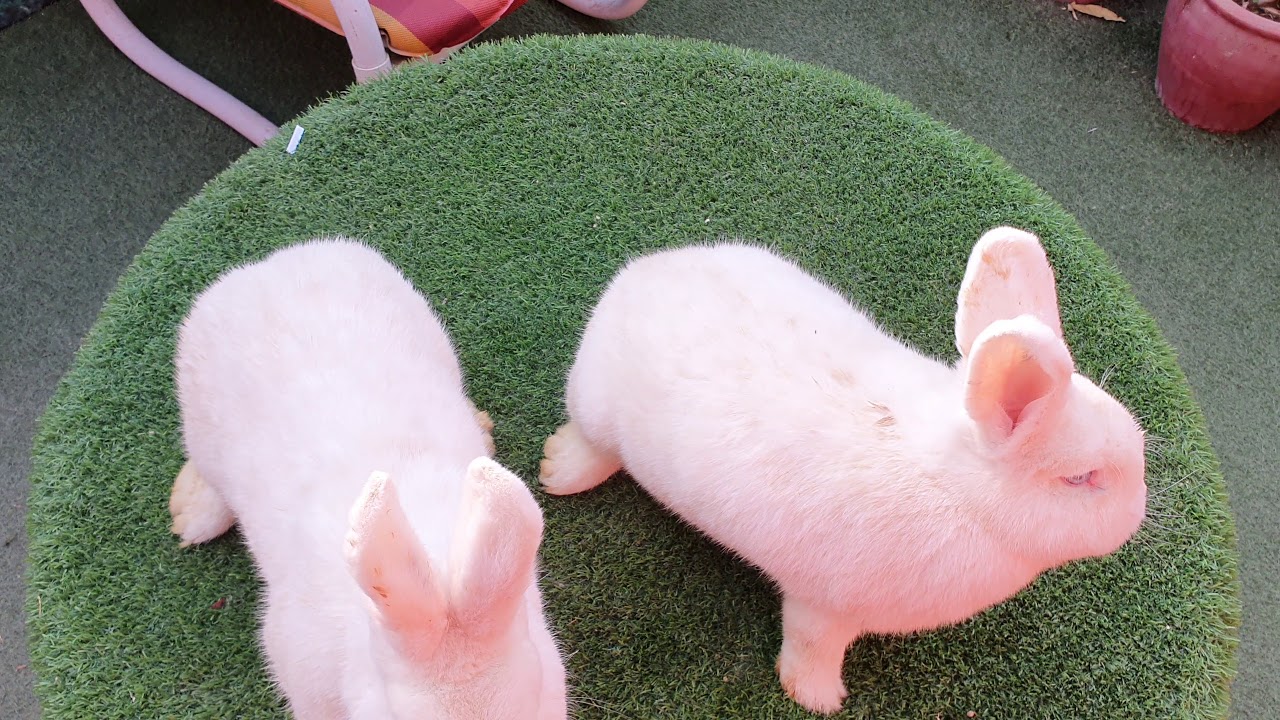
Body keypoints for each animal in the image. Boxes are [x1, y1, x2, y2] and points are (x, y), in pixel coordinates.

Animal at [539, 227, 1148, 715]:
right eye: (1081, 479)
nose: (1139, 511)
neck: (958, 491)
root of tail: (636, 276)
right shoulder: (823, 606)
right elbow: (812, 648)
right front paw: (818, 700)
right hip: (598, 412)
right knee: (594, 448)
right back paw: (555, 470)